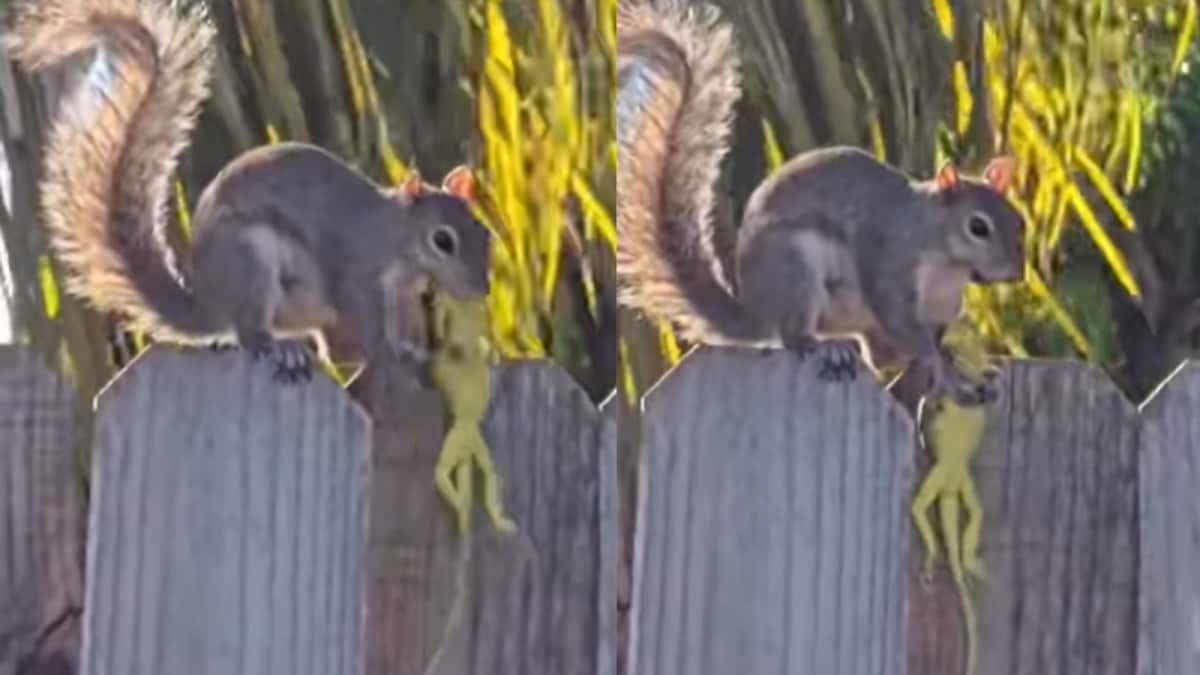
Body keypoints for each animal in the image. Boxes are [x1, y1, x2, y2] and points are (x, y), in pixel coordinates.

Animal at [3, 0, 491, 383]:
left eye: (485, 233)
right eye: (442, 240)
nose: (481, 289)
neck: (396, 237)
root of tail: (210, 302)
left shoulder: (404, 295)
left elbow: (400, 326)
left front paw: (413, 351)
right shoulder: (358, 272)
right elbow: (369, 326)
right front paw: (394, 360)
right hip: (251, 263)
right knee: (254, 335)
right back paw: (281, 349)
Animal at [617, 0, 1025, 404]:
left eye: (1020, 222)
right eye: (977, 227)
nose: (1016, 274)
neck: (948, 262)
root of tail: (755, 310)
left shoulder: (942, 309)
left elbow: (920, 348)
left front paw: (959, 375)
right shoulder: (891, 264)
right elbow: (907, 328)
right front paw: (947, 374)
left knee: (875, 356)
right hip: (797, 270)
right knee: (794, 337)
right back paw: (826, 347)